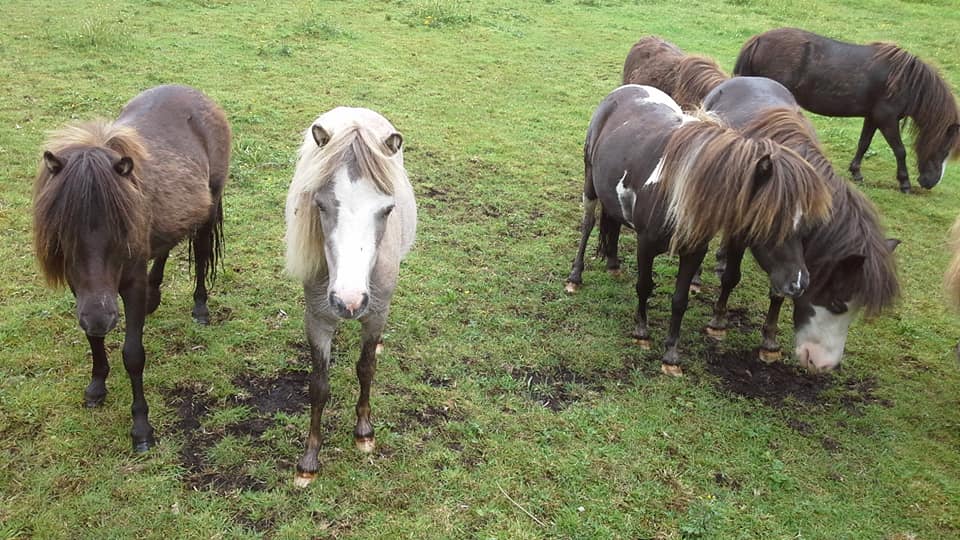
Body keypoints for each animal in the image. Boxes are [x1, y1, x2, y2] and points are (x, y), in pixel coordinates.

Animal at [33, 85, 231, 451]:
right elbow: (92, 337)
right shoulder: (82, 290)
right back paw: (156, 295)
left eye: (120, 227)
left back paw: (200, 307)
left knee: (199, 251)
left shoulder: (128, 286)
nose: (102, 318)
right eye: (63, 232)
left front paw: (141, 428)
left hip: (210, 203)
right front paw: (97, 386)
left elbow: (133, 355)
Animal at [285, 107, 416, 487]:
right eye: (321, 205)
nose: (349, 301)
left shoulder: (375, 315)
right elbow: (319, 386)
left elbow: (366, 367)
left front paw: (364, 433)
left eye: (387, 209)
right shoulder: (317, 319)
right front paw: (309, 461)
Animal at [566, 85, 832, 376]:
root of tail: (623, 90)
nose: (798, 283)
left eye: (806, 225)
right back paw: (575, 277)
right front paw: (641, 332)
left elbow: (680, 300)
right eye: (771, 223)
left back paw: (613, 265)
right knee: (587, 225)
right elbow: (644, 286)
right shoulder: (645, 244)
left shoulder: (694, 251)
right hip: (590, 184)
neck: (677, 189)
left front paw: (671, 355)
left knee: (612, 222)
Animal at [703, 76, 900, 373]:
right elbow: (731, 278)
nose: (823, 365)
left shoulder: (793, 258)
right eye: (836, 303)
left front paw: (769, 342)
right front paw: (718, 322)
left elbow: (779, 292)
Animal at [734, 27, 960, 193]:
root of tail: (759, 40)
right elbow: (900, 150)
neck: (906, 81)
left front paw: (856, 172)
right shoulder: (887, 119)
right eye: (945, 149)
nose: (929, 183)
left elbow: (864, 144)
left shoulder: (872, 118)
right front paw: (904, 183)